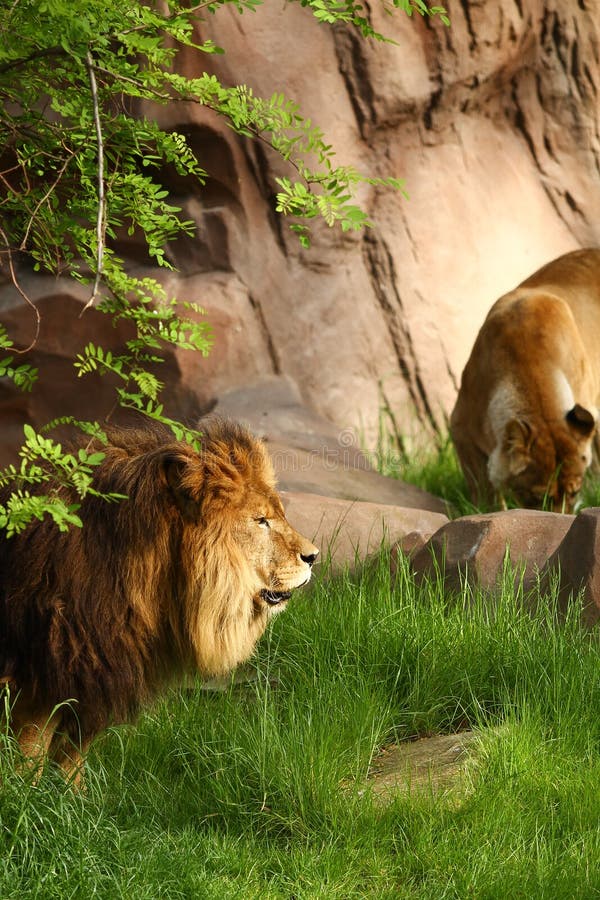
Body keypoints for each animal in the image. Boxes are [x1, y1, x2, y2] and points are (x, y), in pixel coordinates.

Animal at [0, 419, 318, 785]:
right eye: (260, 520)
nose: (313, 556)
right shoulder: (46, 671)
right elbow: (29, 752)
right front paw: (24, 791)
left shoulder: (101, 673)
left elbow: (71, 756)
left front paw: (70, 795)